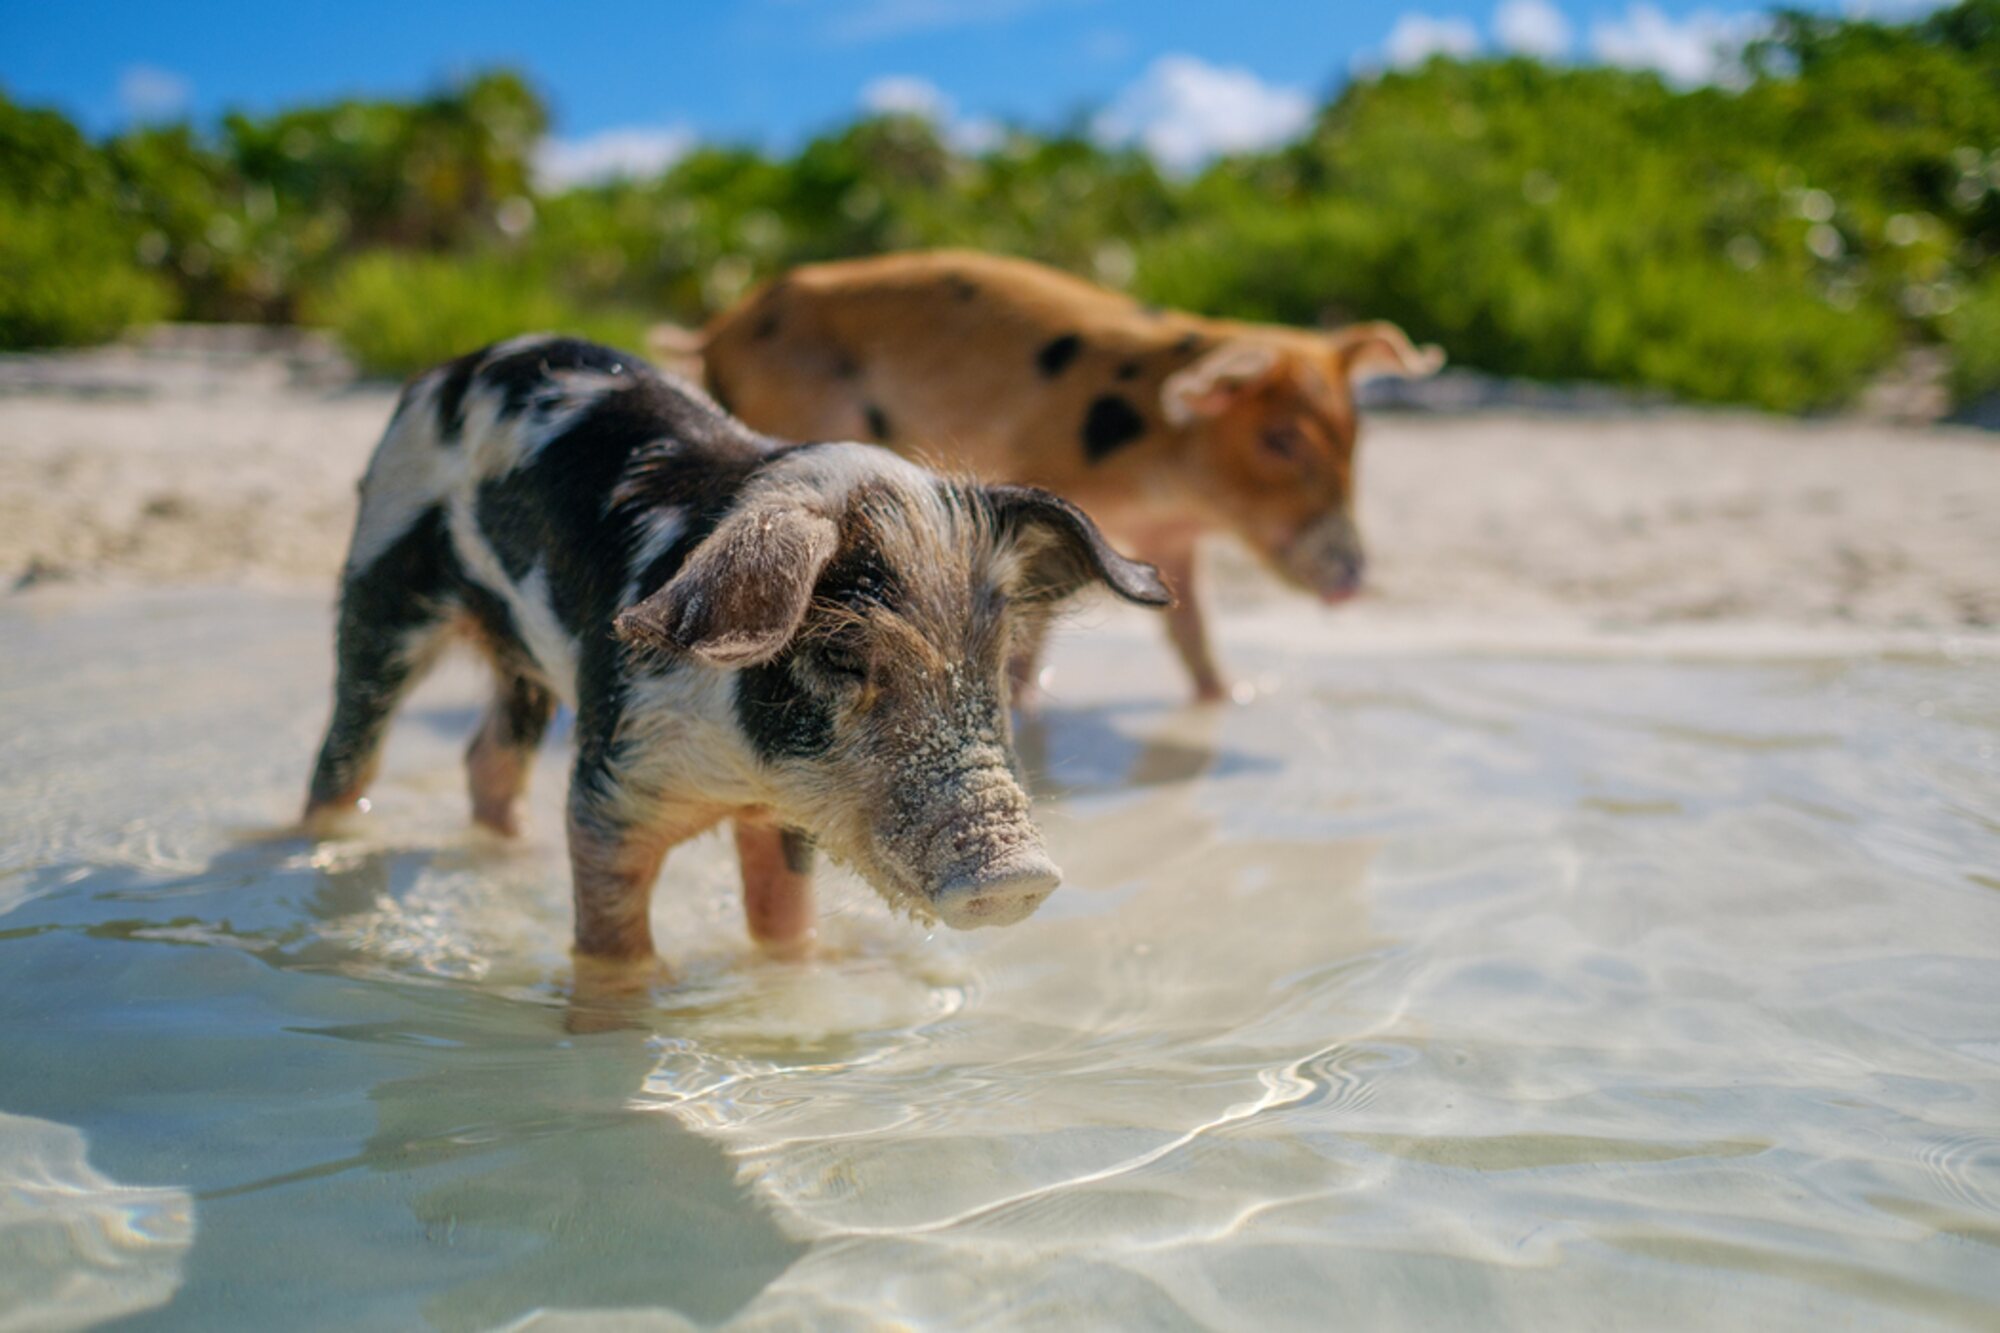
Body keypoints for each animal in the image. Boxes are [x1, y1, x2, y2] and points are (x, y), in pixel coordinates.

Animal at [302, 335, 1171, 962]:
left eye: (990, 661)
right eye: (842, 657)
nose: (1017, 871)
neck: (735, 772)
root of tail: (446, 371)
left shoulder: (784, 813)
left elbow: (783, 922)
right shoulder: (613, 774)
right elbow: (614, 941)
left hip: (523, 656)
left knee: (487, 757)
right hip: (381, 570)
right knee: (348, 745)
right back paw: (321, 848)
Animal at [673, 250, 1443, 704]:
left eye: (1354, 440)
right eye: (1280, 440)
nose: (1353, 580)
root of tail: (716, 330)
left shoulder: (1170, 538)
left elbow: (1191, 631)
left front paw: (1228, 698)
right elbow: (1035, 623)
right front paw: (1022, 701)